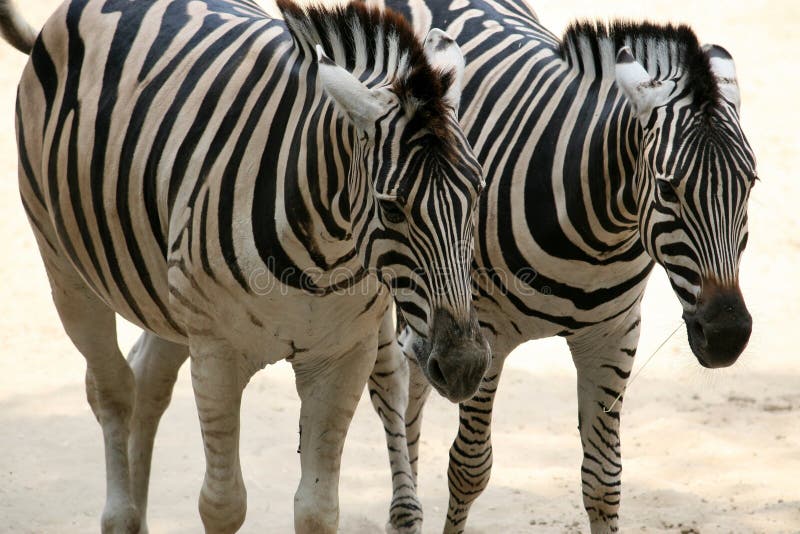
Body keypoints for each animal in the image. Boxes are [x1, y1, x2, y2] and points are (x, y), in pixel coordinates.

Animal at [1, 0, 491, 531]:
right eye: (391, 208)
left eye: (478, 192)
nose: (465, 367)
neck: (323, 259)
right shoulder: (217, 351)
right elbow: (221, 504)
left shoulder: (343, 356)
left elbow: (318, 510)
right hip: (67, 272)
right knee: (111, 388)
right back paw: (122, 515)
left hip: (168, 296)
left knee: (148, 378)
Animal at [365, 0, 758, 532]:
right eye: (668, 188)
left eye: (751, 183)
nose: (727, 336)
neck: (598, 236)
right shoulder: (484, 332)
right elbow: (469, 468)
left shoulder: (613, 336)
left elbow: (604, 479)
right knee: (394, 379)